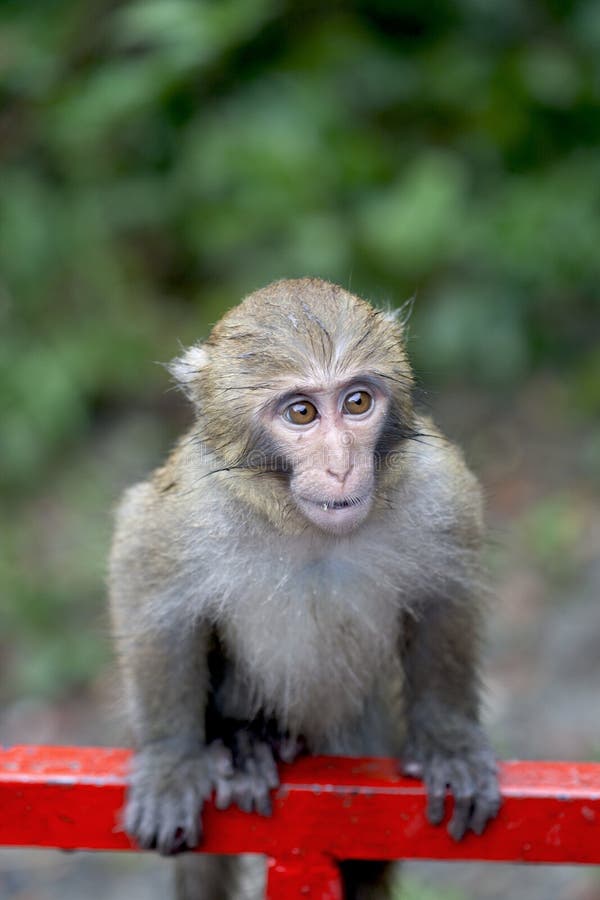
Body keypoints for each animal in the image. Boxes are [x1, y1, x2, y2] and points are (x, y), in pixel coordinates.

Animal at [108, 277, 500, 899]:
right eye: (302, 412)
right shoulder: (194, 505)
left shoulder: (436, 486)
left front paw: (449, 740)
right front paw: (170, 762)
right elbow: (148, 589)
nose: (341, 466)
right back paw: (247, 741)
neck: (309, 531)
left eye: (357, 402)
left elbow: (446, 593)